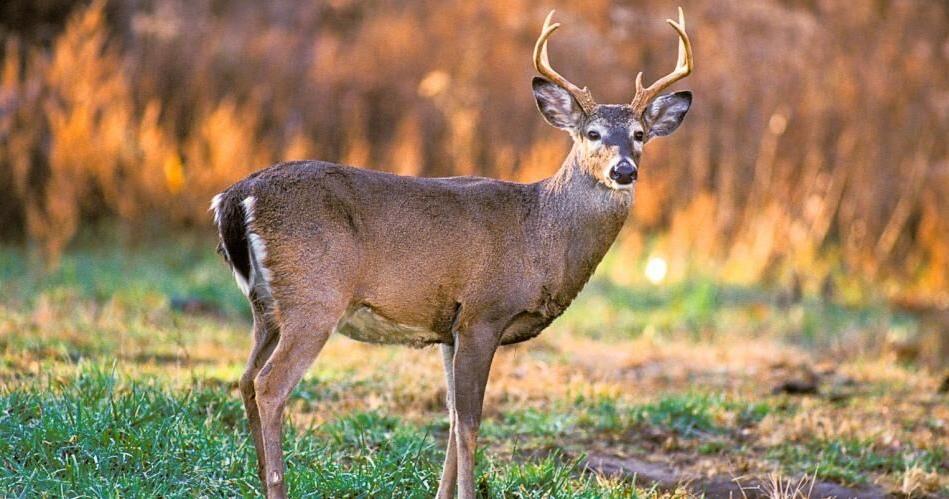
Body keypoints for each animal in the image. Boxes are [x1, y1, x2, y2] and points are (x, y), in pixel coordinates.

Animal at [211, 8, 693, 498]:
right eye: (592, 133)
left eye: (639, 134)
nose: (624, 169)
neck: (541, 235)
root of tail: (237, 196)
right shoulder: (483, 313)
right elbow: (471, 421)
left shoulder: (448, 328)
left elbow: (452, 414)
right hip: (314, 296)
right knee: (270, 385)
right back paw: (276, 483)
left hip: (266, 306)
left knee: (245, 379)